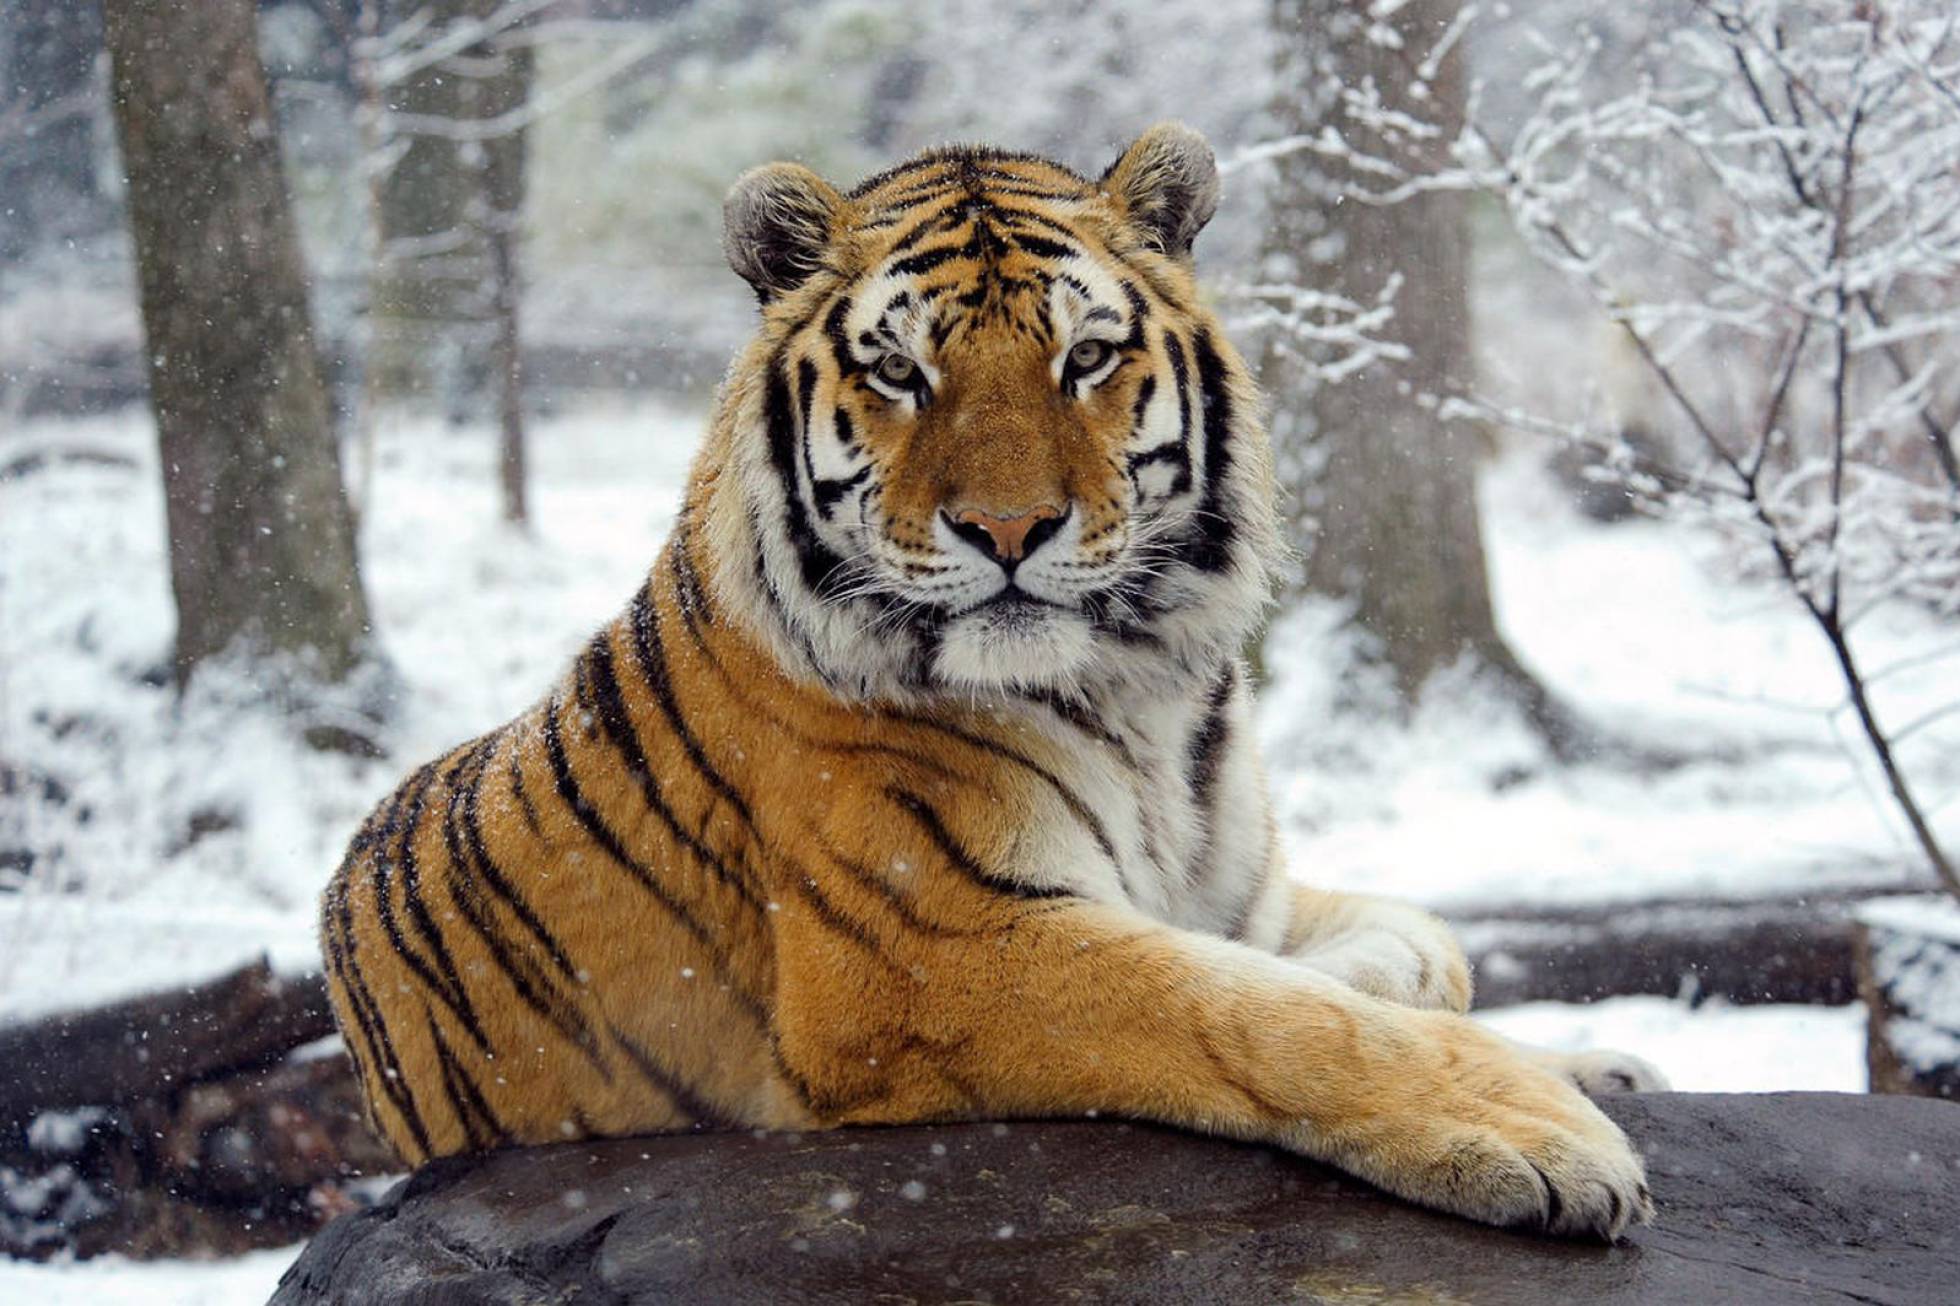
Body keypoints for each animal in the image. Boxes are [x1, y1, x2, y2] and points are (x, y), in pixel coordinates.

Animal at [321, 123, 1662, 1240]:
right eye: (898, 372)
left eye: (1086, 358)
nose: (1006, 528)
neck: (1141, 696)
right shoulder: (943, 951)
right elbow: (1261, 1011)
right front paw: (1543, 1130)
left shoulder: (1245, 898)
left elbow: (1420, 944)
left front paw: (1595, 1063)